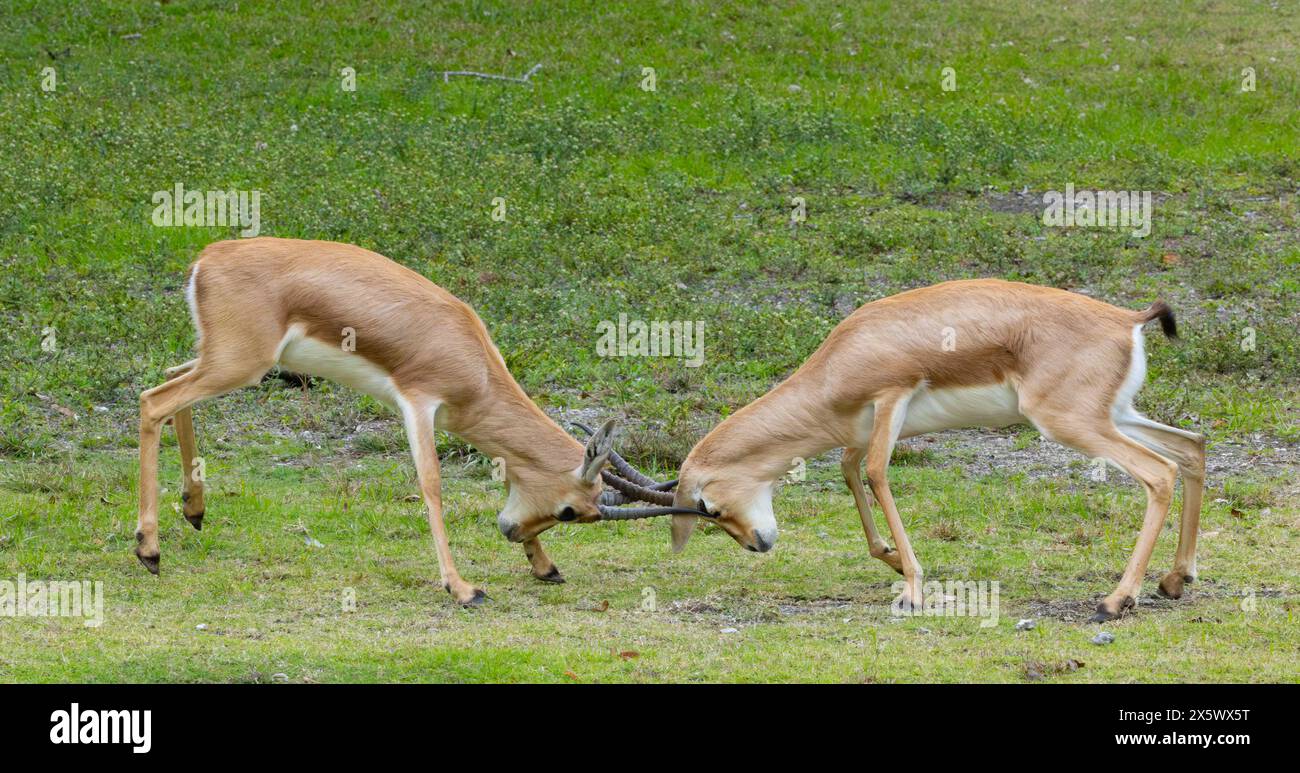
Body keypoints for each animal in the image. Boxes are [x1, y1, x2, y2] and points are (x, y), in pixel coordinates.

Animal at [136, 237, 700, 606]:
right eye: (569, 511)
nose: (511, 532)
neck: (474, 360)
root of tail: (206, 258)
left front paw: (544, 567)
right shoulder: (419, 403)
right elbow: (431, 484)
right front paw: (464, 588)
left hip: (223, 363)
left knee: (169, 380)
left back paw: (193, 510)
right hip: (240, 365)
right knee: (153, 401)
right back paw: (149, 551)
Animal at [662, 279, 1206, 623]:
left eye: (709, 507)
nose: (757, 545)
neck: (836, 365)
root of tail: (1126, 319)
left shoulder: (891, 398)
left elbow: (876, 473)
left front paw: (912, 592)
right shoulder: (862, 430)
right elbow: (850, 470)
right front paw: (893, 562)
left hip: (1071, 423)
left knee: (1159, 471)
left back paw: (1114, 602)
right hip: (1116, 415)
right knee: (1191, 448)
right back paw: (1175, 579)